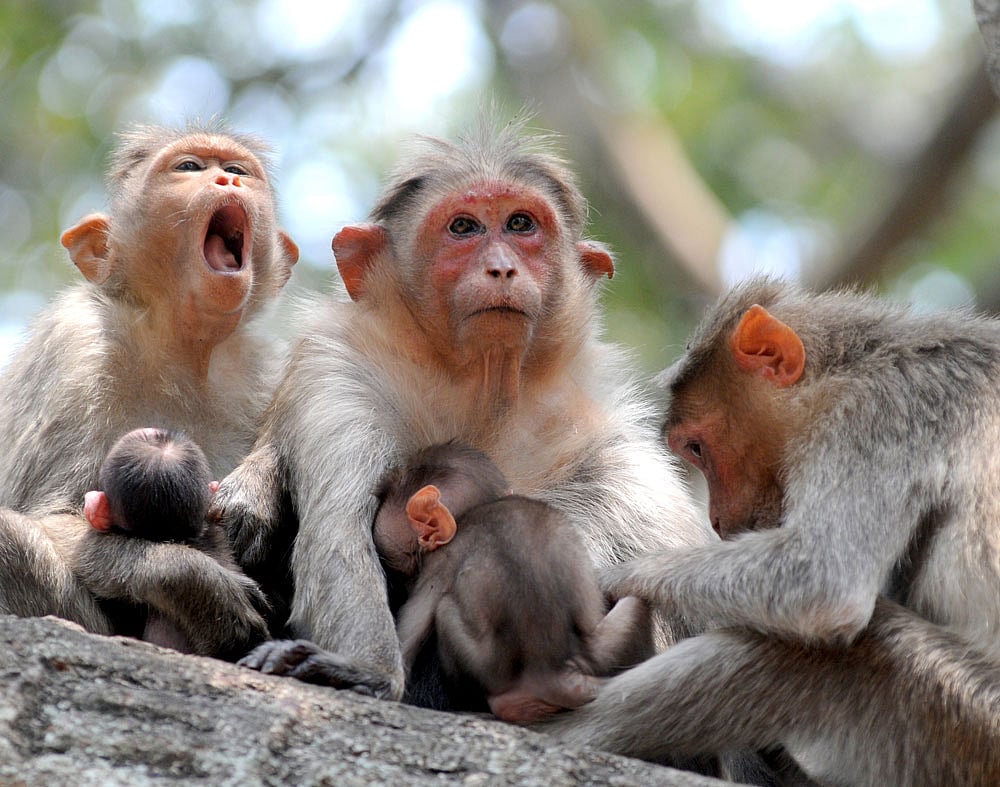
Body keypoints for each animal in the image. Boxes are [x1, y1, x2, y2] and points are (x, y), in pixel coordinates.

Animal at [369, 441, 653, 723]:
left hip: (485, 662)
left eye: (402, 566)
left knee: (445, 610)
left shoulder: (441, 563)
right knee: (635, 604)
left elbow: (415, 622)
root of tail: (553, 674)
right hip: (601, 652)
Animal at [543, 277, 1000, 785]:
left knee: (843, 651)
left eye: (696, 447)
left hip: (962, 728)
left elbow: (822, 579)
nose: (716, 519)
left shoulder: (877, 413)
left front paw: (610, 575)